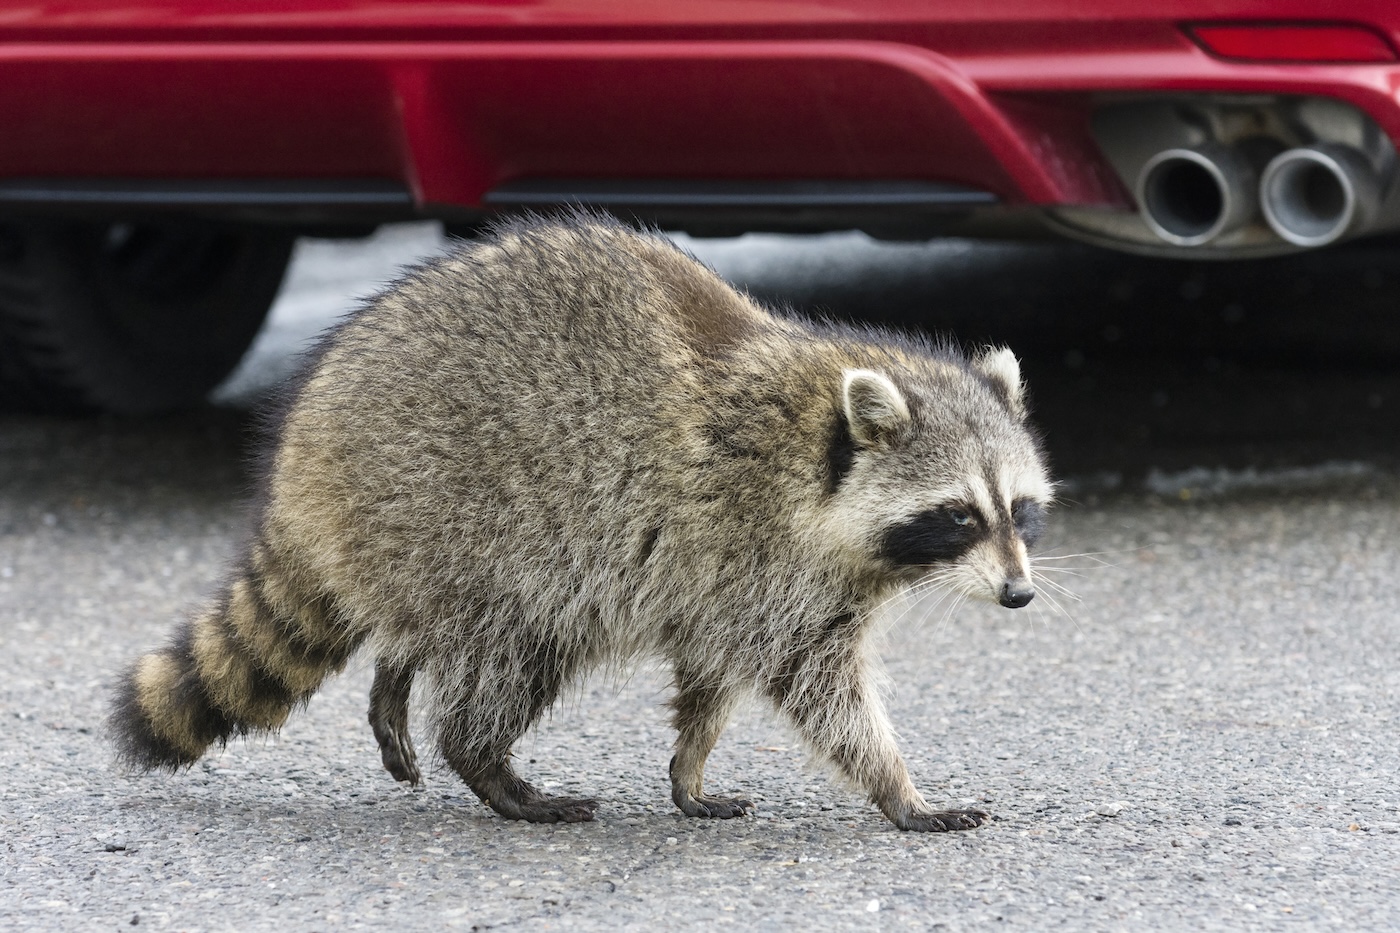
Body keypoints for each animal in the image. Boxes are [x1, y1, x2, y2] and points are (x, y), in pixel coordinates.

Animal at [110, 214, 1053, 832]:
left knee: (427, 628)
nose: (1019, 595)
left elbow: (709, 677)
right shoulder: (762, 557)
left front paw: (690, 765)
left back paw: (397, 677)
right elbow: (819, 689)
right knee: (509, 655)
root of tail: (303, 451)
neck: (820, 441)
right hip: (469, 521)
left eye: (1020, 510)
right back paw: (490, 767)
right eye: (958, 514)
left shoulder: (729, 579)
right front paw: (899, 788)